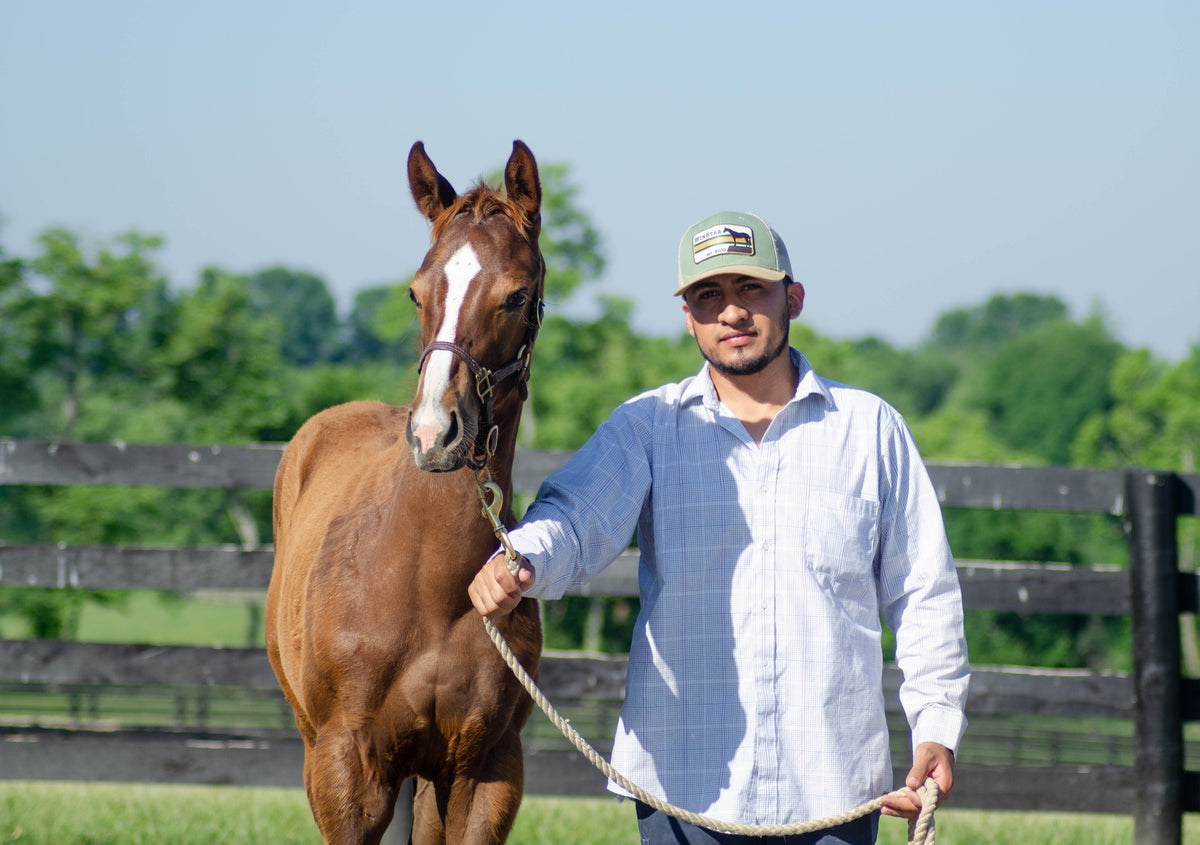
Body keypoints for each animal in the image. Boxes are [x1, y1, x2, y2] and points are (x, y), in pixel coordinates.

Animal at [266, 140, 546, 844]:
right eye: (417, 292)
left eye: (517, 295)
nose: (434, 432)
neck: (427, 582)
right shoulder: (345, 769)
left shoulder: (486, 771)